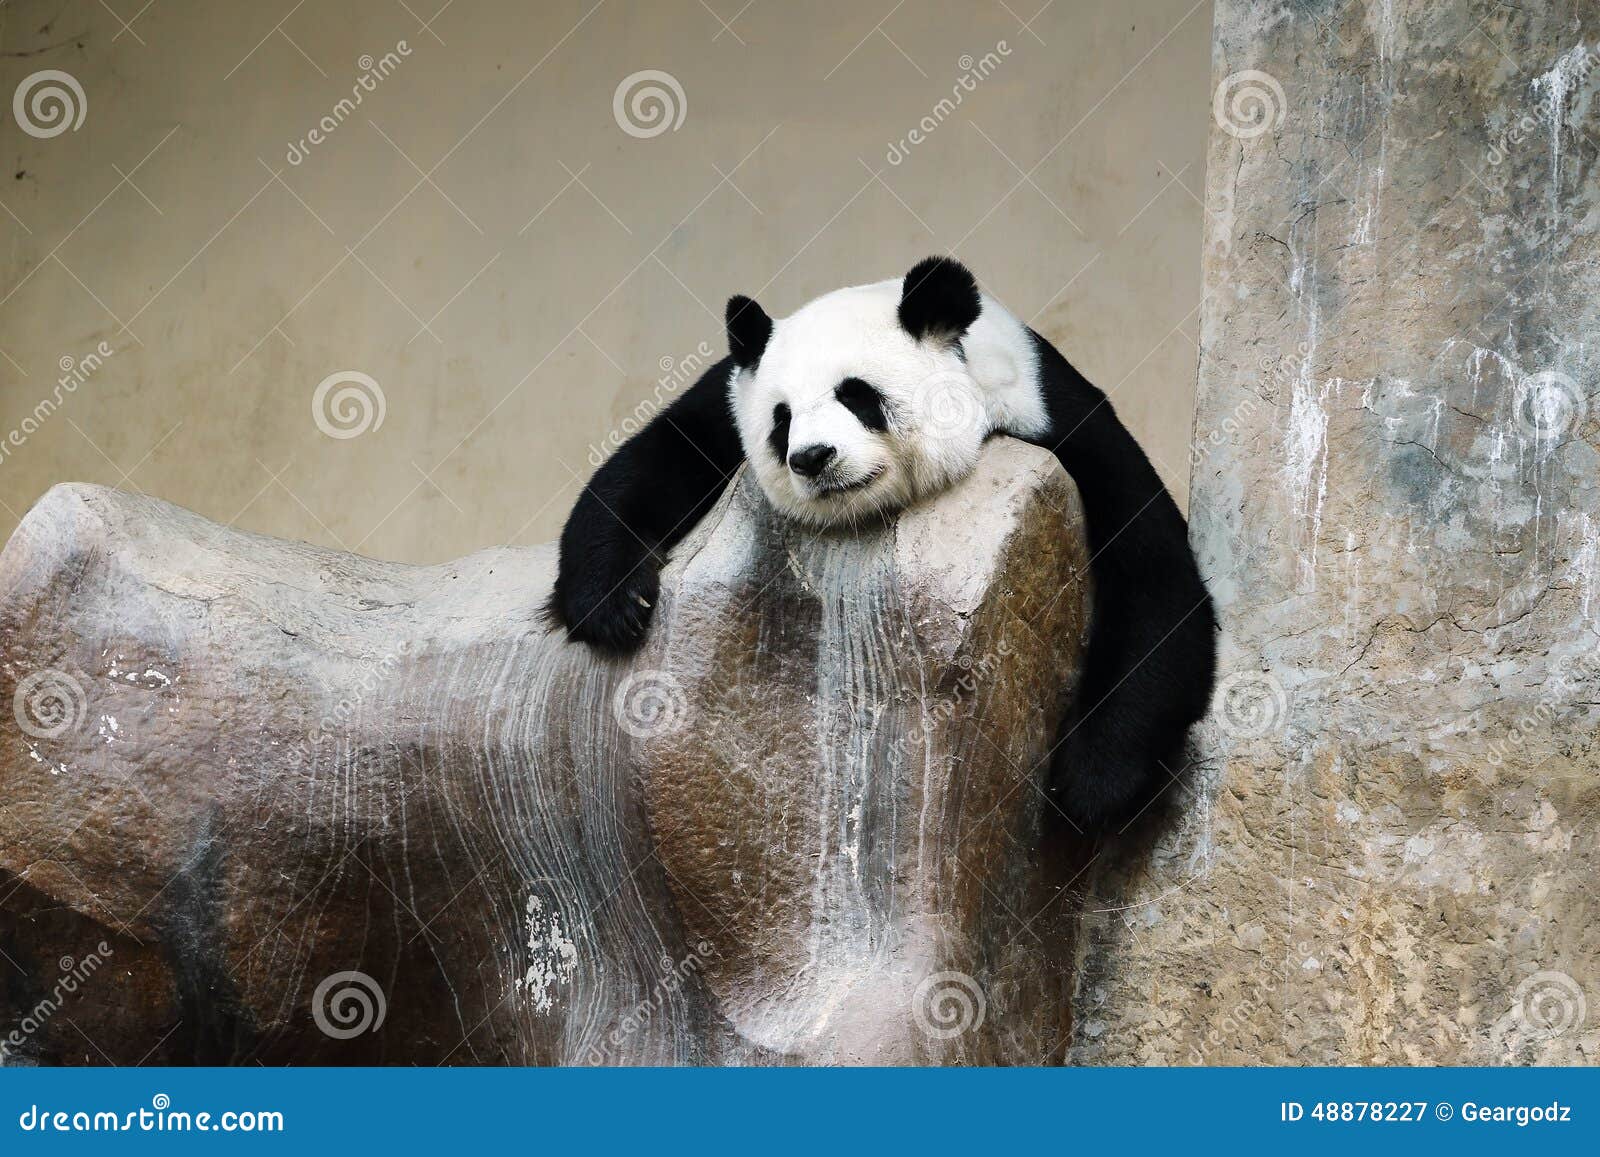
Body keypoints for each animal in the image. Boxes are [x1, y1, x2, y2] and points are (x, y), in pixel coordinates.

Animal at [548, 256, 1216, 833]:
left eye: (857, 395)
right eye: (782, 421)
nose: (813, 457)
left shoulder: (1055, 415)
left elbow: (1152, 570)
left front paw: (1090, 787)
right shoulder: (726, 400)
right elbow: (656, 457)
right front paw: (613, 602)